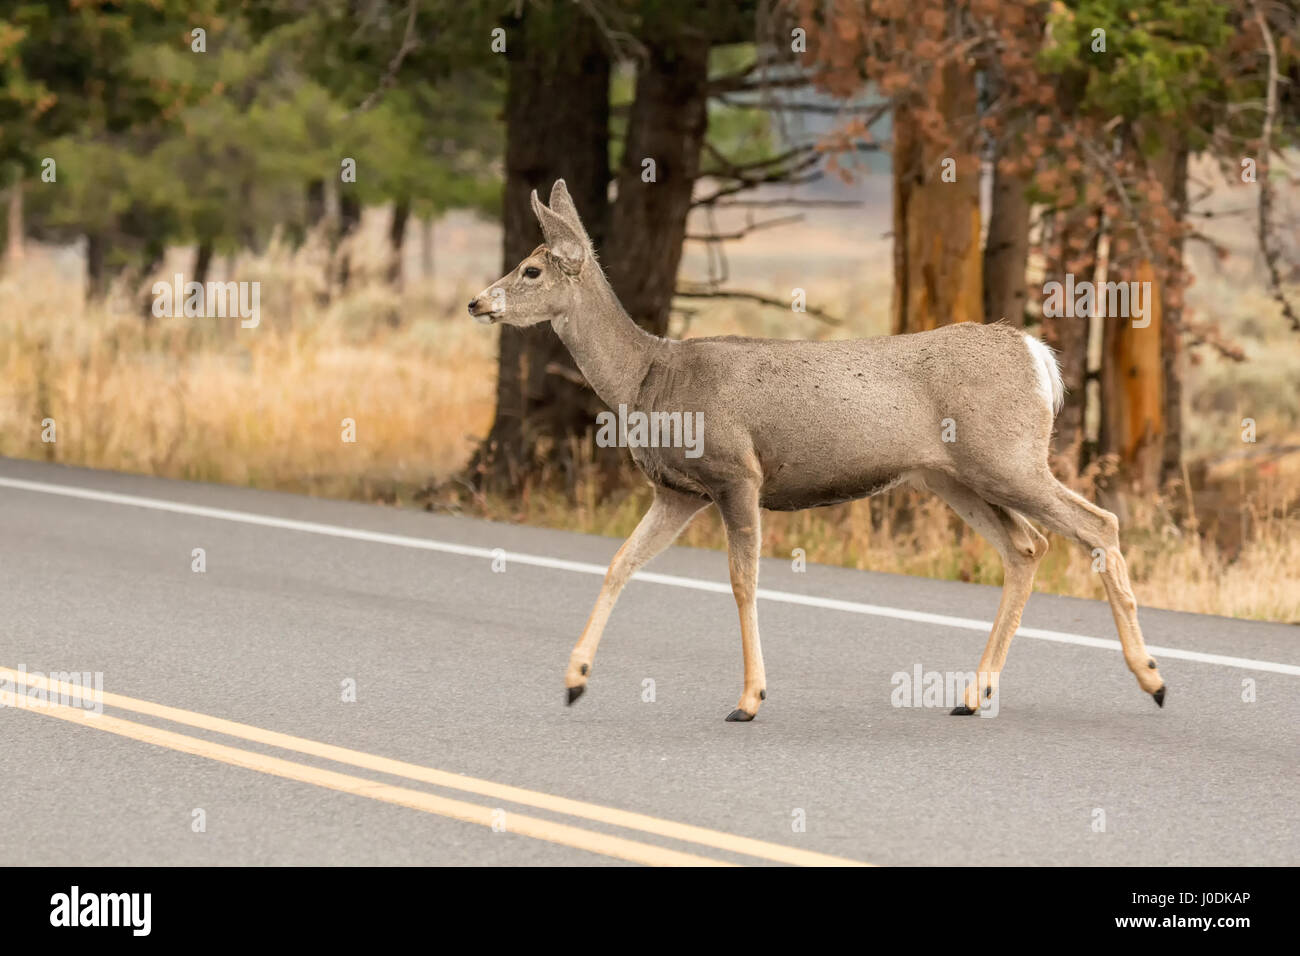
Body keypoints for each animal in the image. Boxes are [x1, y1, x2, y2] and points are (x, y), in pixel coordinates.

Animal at [468, 179, 1167, 722]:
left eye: (531, 269)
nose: (477, 301)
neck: (648, 378)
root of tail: (1038, 356)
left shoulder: (737, 474)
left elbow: (742, 581)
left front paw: (749, 699)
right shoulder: (677, 492)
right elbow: (619, 563)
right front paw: (574, 680)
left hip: (1008, 456)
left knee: (1098, 523)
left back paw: (1153, 679)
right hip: (952, 476)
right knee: (1028, 547)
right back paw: (975, 693)